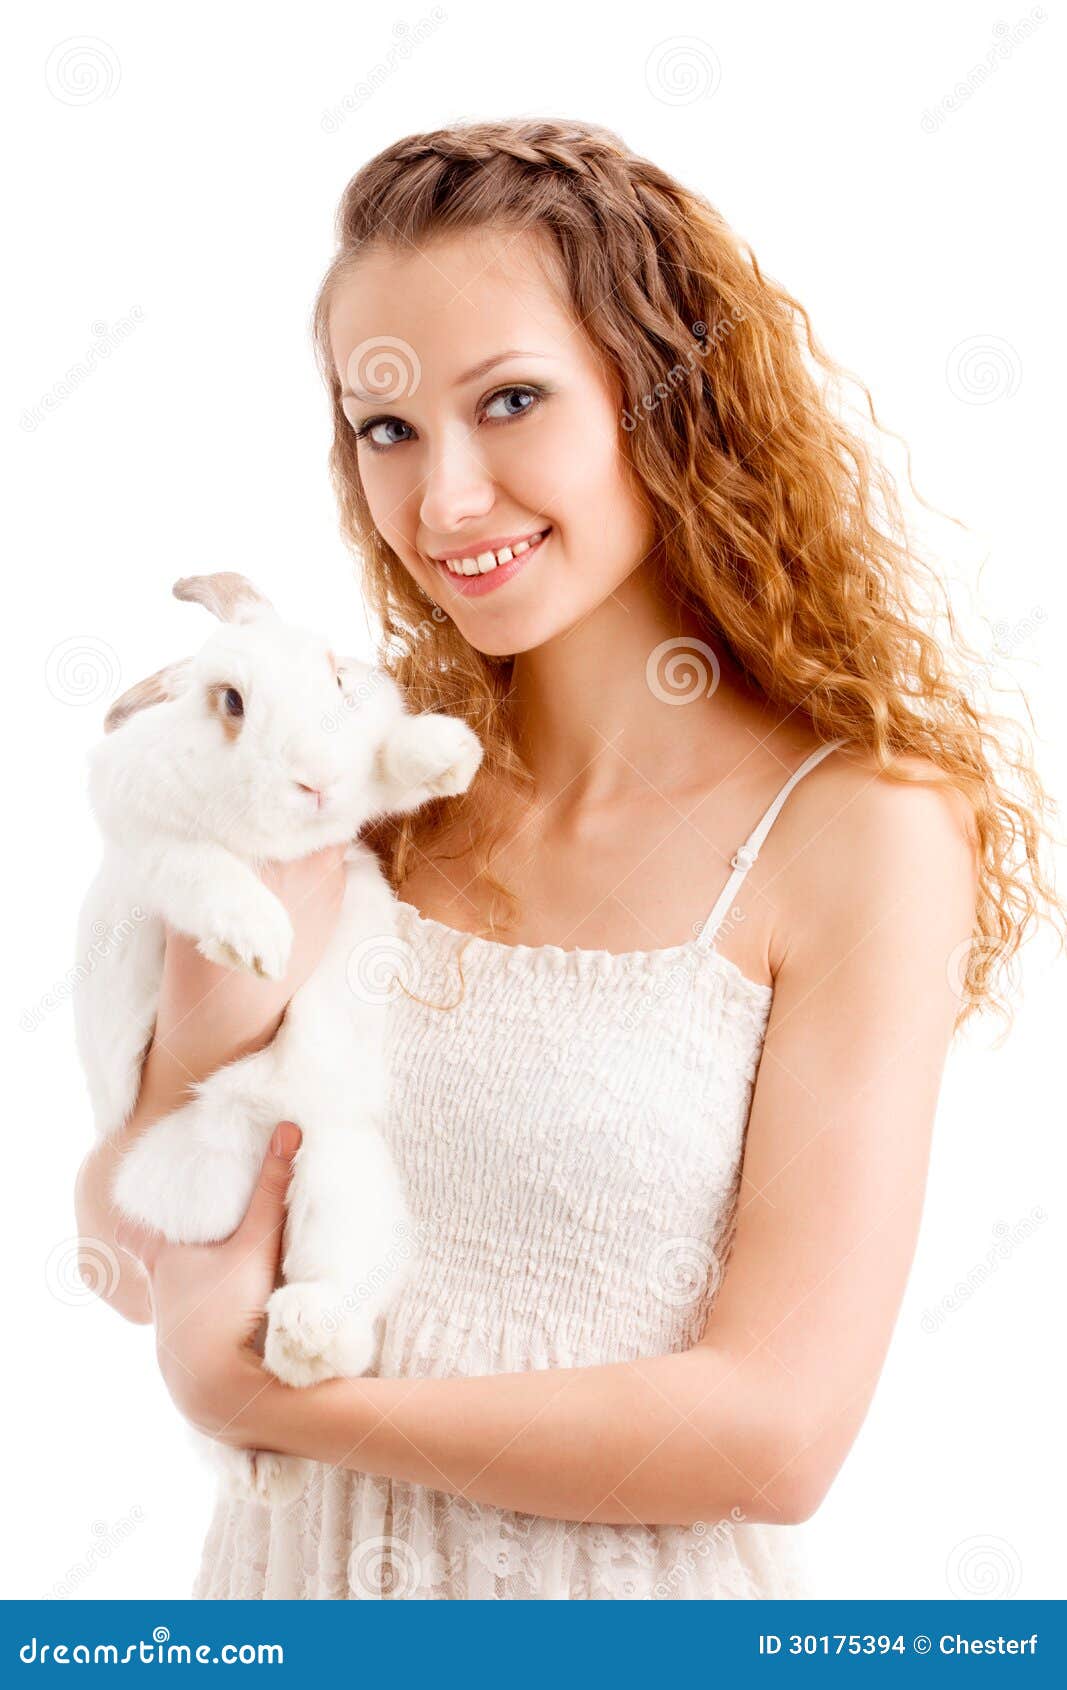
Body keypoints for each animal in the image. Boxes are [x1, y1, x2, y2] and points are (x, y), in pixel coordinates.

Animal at [74, 570, 483, 1506]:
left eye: (337, 676)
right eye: (229, 702)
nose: (315, 781)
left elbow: (386, 769)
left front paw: (446, 752)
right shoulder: (148, 841)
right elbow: (200, 867)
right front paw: (258, 942)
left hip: (337, 1166)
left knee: (341, 1322)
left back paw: (305, 1337)